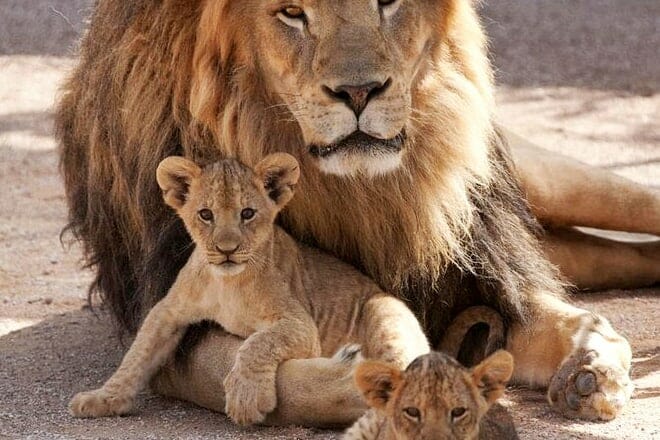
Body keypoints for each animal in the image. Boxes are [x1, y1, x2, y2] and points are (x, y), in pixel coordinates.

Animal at [69, 153, 429, 425]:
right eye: (206, 214)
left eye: (247, 213)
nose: (226, 249)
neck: (227, 283)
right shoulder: (168, 312)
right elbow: (137, 355)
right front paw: (102, 398)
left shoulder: (301, 325)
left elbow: (259, 342)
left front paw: (247, 396)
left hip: (384, 310)